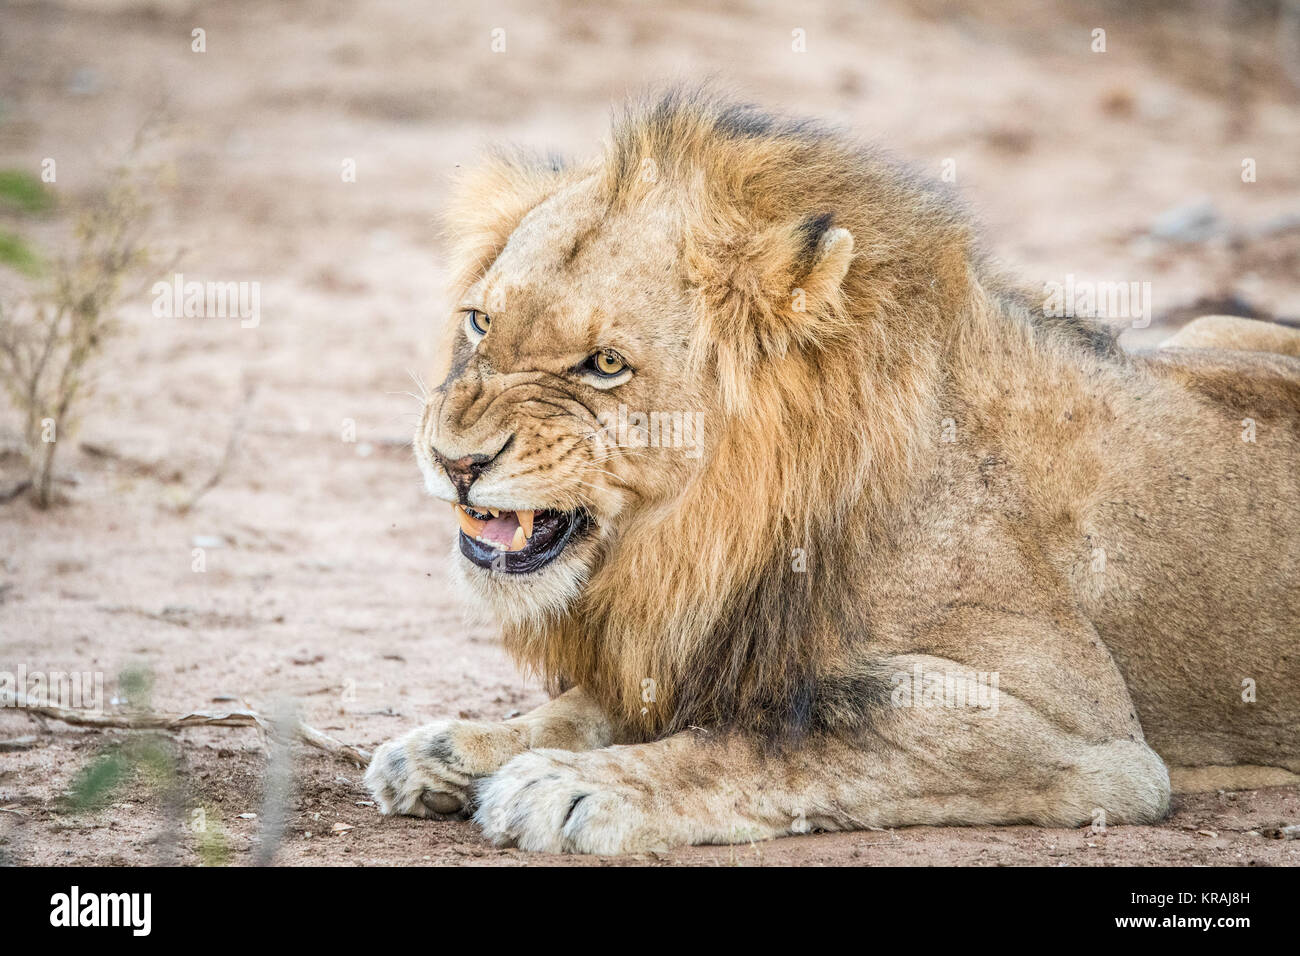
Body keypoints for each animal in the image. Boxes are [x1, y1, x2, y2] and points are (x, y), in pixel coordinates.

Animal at [364, 89, 1300, 853]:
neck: (709, 533)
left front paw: (574, 785)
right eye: (480, 323)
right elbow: (592, 706)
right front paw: (452, 749)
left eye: (603, 365)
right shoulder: (697, 638)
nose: (454, 461)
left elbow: (787, 734)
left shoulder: (1083, 733)